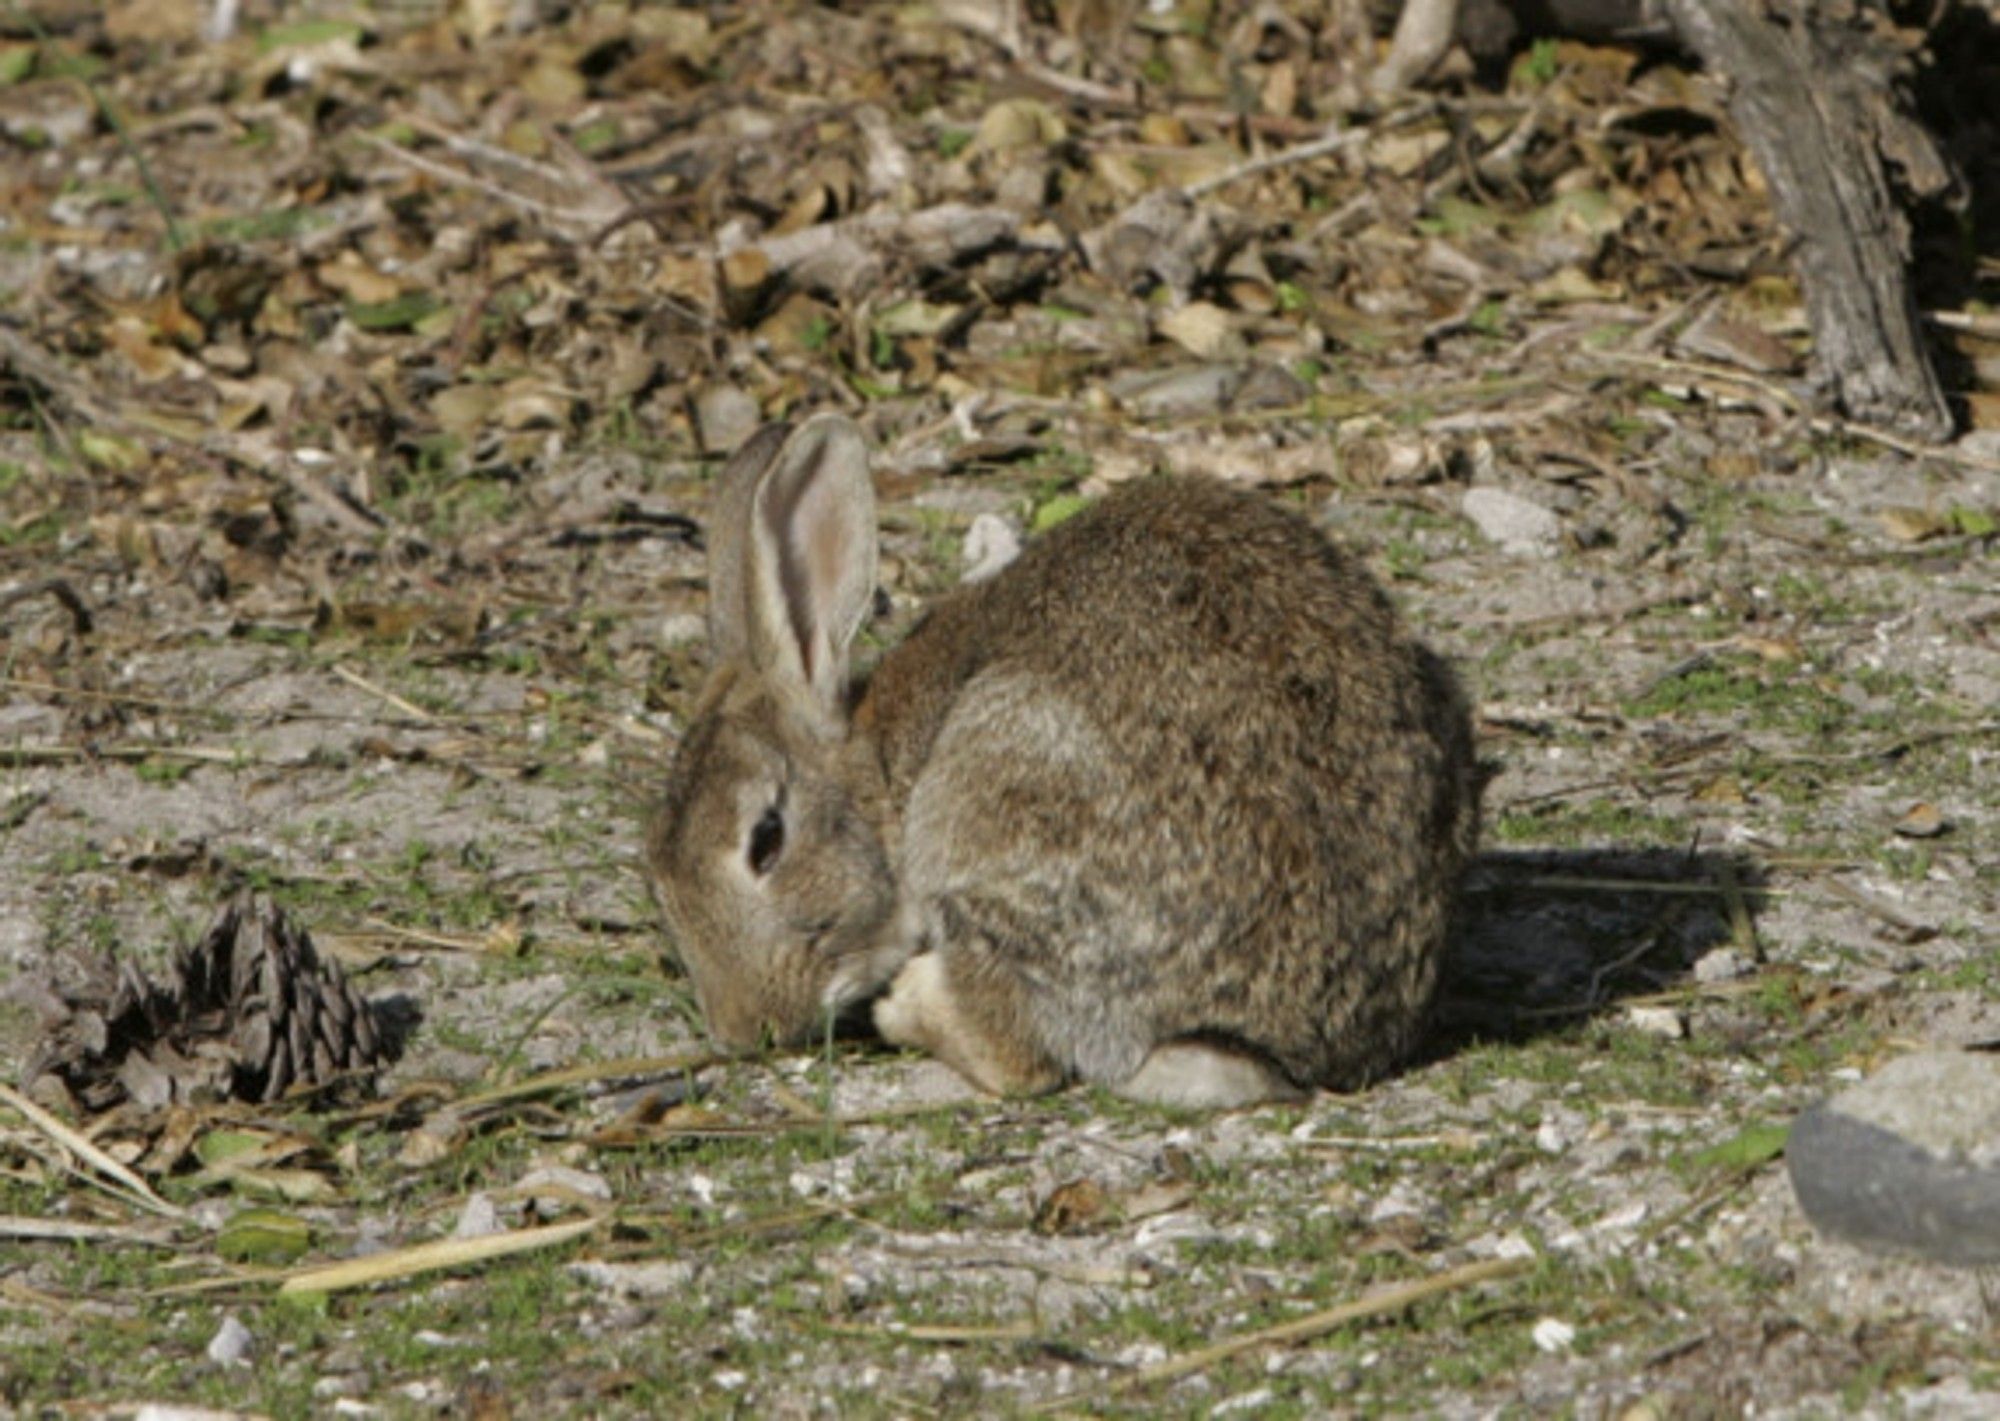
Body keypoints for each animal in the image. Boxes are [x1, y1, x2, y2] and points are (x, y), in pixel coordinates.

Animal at [645, 413, 1480, 1107]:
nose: (742, 1026)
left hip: (995, 804)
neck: (875, 774)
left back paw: (910, 1004)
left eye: (766, 840)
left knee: (1016, 1051)